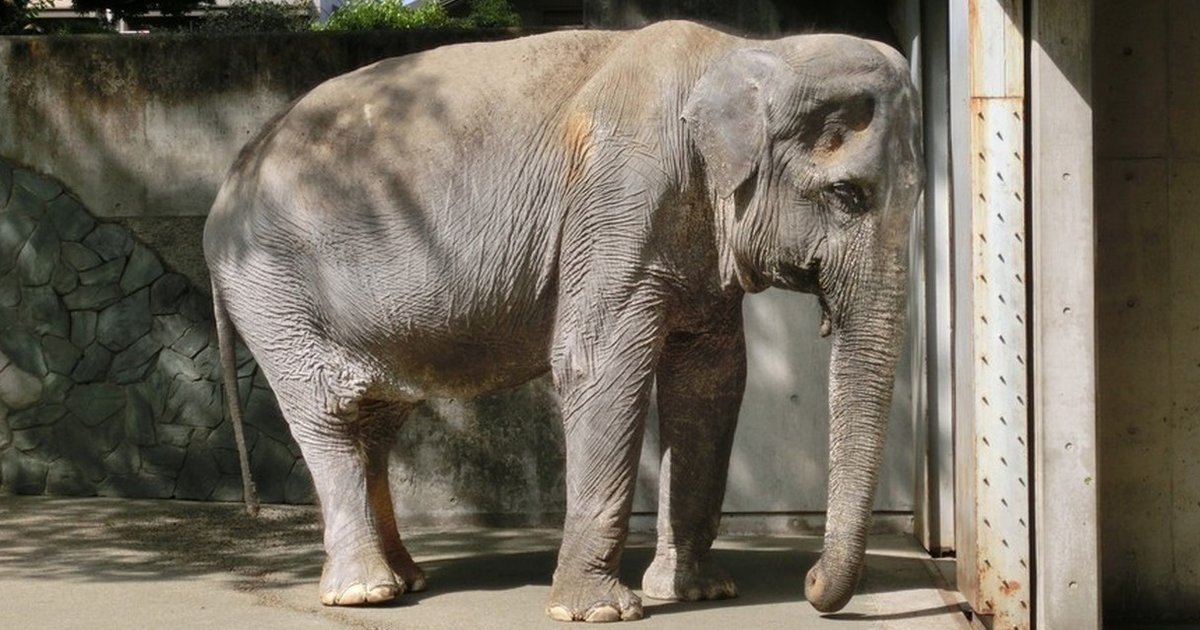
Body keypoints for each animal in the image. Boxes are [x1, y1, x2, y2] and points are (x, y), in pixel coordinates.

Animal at [203, 20, 923, 622]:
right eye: (846, 195)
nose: (810, 584)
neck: (746, 51)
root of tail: (231, 174)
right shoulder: (618, 199)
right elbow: (600, 366)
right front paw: (600, 611)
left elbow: (711, 383)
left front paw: (697, 593)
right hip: (273, 289)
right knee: (328, 410)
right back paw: (366, 593)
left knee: (375, 420)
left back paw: (408, 580)